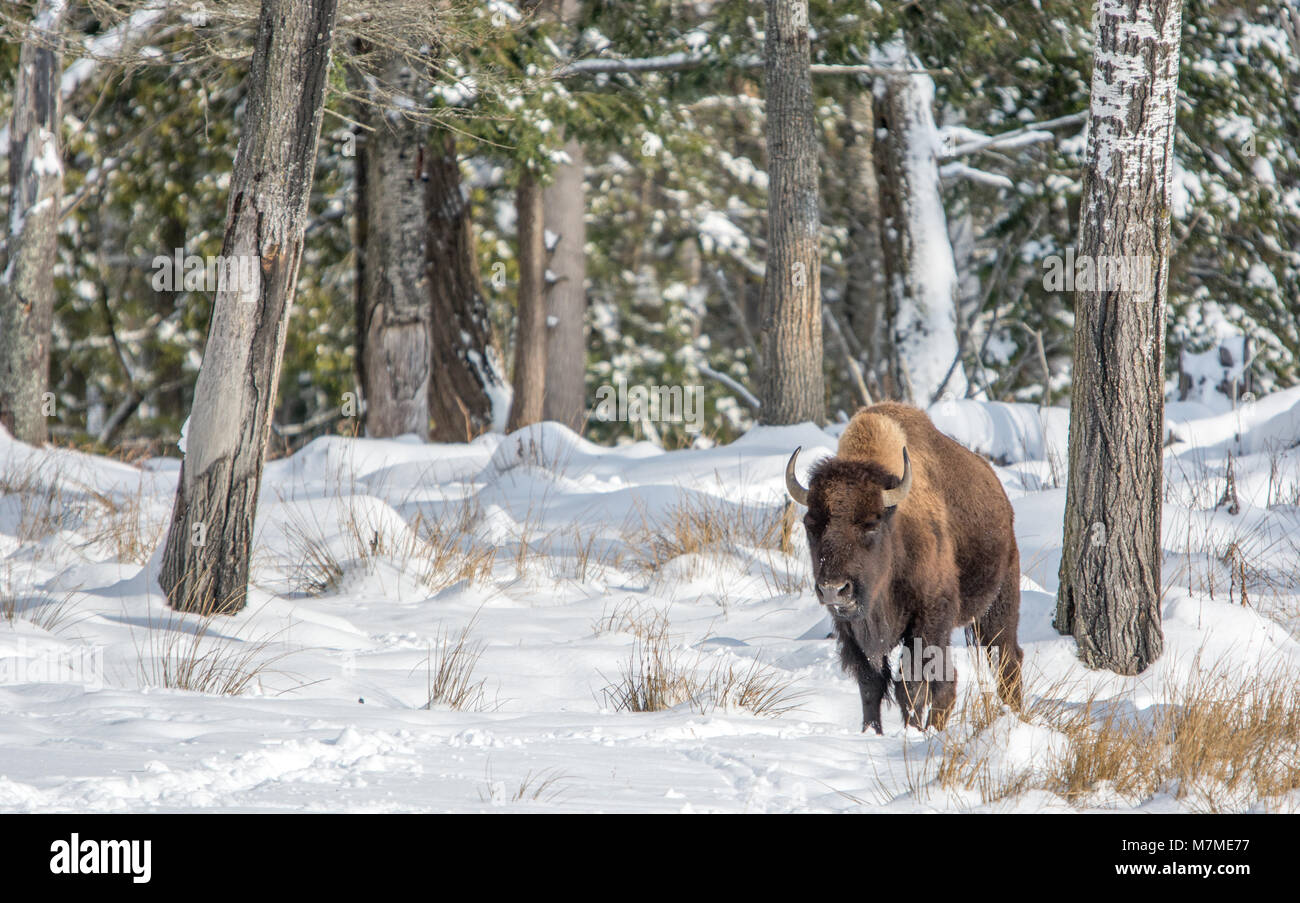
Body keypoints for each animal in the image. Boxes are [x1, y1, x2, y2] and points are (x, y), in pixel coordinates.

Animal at [785, 402, 1023, 732]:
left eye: (871, 524)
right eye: (811, 525)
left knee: (1005, 662)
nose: (834, 589)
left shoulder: (927, 620)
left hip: (997, 606)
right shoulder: (851, 630)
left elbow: (913, 684)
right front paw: (871, 732)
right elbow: (871, 684)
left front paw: (916, 731)